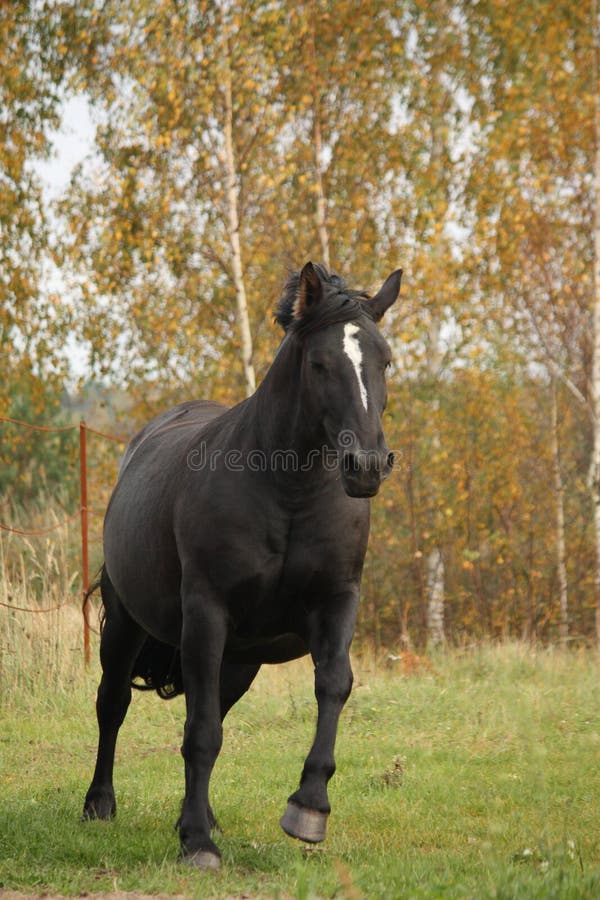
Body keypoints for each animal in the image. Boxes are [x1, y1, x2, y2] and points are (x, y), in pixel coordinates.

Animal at [83, 261, 402, 869]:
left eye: (385, 361)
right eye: (320, 363)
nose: (367, 465)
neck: (286, 491)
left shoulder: (337, 602)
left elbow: (333, 686)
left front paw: (308, 809)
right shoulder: (206, 613)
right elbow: (200, 731)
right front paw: (198, 845)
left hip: (241, 659)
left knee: (211, 710)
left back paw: (200, 815)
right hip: (127, 624)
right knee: (114, 705)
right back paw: (100, 805)